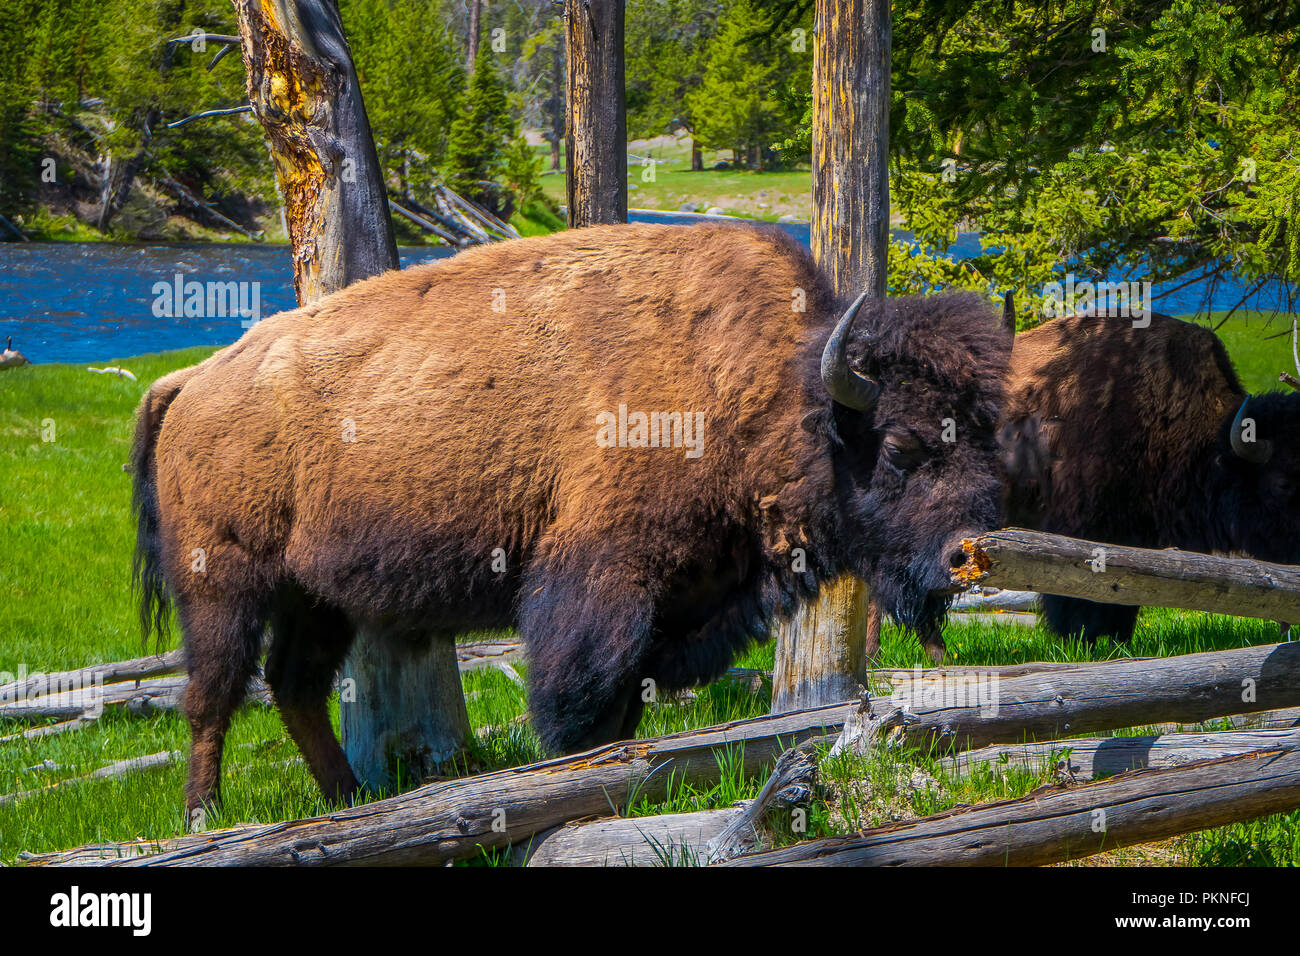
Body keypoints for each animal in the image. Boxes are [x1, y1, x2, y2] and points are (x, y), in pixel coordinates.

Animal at [131, 222, 1012, 815]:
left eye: (987, 435)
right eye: (898, 448)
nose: (966, 554)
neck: (761, 390)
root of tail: (190, 382)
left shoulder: (673, 607)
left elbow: (626, 702)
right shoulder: (600, 586)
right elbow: (581, 699)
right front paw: (577, 778)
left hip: (316, 598)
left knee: (295, 686)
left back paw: (348, 797)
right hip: (224, 587)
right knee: (213, 693)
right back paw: (206, 812)